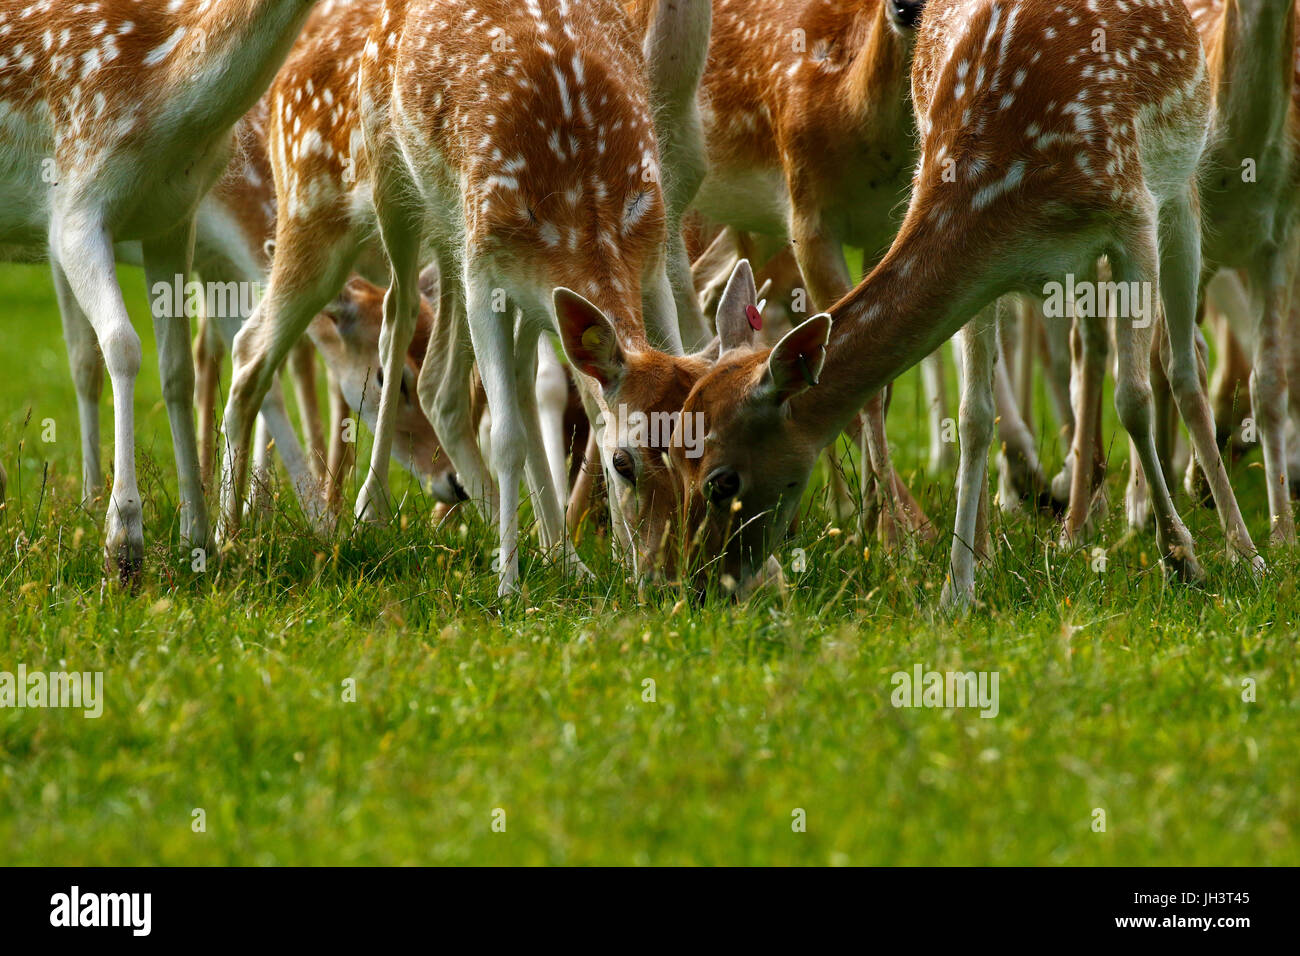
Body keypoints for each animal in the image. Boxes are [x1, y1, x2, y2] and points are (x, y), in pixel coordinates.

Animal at [0, 0, 319, 582]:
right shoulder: (74, 208)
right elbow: (123, 347)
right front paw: (124, 545)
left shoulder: (173, 220)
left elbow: (177, 370)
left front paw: (199, 539)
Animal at [218, 0, 721, 595]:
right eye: (624, 464)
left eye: (695, 455)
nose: (667, 581)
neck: (582, 207)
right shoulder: (484, 272)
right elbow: (505, 434)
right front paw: (509, 587)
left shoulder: (650, 261)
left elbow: (615, 394)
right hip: (390, 190)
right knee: (371, 321)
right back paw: (273, 530)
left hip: (454, 236)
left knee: (453, 372)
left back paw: (562, 557)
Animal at [671, 0, 1265, 608]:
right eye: (673, 455)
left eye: (722, 480)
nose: (700, 587)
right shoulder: (991, 273)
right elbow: (974, 415)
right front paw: (958, 588)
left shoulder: (1132, 215)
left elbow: (1135, 397)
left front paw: (1183, 558)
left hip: (1182, 187)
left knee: (1183, 366)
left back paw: (1244, 551)